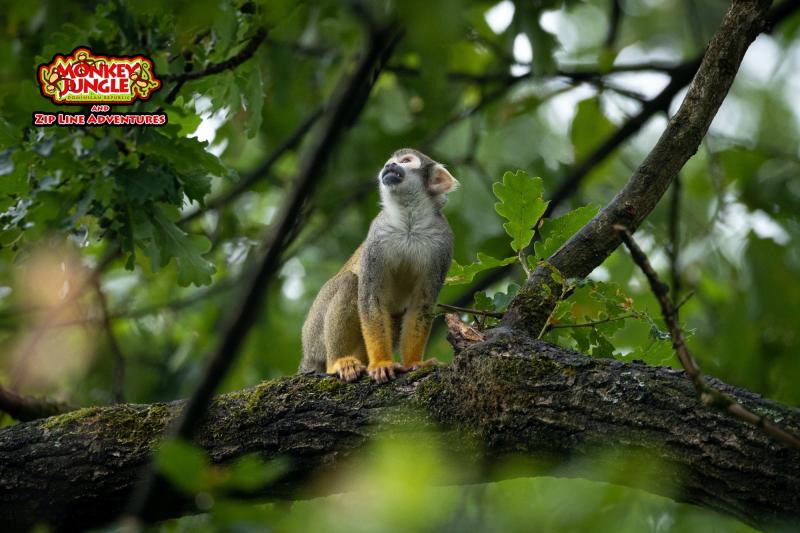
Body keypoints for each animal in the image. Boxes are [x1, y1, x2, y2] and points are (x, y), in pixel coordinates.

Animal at [300, 148, 458, 383]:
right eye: (388, 162)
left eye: (406, 161)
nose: (389, 166)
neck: (409, 221)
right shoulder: (378, 233)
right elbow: (369, 297)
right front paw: (382, 363)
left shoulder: (443, 242)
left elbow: (421, 304)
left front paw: (414, 362)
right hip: (314, 337)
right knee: (349, 283)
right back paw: (338, 363)